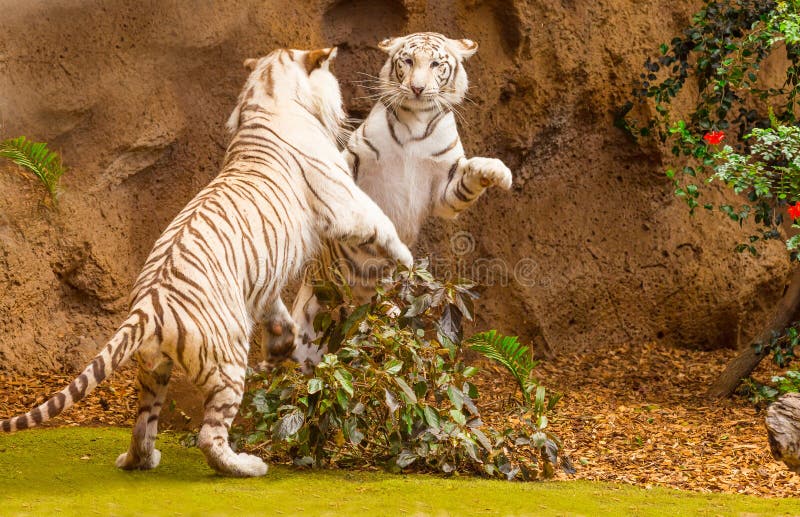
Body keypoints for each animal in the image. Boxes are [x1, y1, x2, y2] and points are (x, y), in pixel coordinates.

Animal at [0, 46, 413, 478]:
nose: (346, 111)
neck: (264, 99)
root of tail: (149, 306)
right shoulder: (341, 197)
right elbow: (379, 221)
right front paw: (407, 258)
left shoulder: (263, 277)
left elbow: (275, 307)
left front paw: (283, 339)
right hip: (226, 363)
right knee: (209, 436)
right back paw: (246, 466)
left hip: (152, 372)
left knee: (142, 424)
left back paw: (139, 460)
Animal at [262, 33, 513, 371]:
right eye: (407, 61)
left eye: (436, 64)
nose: (417, 88)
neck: (417, 121)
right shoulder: (353, 160)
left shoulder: (444, 188)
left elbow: (468, 180)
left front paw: (497, 171)